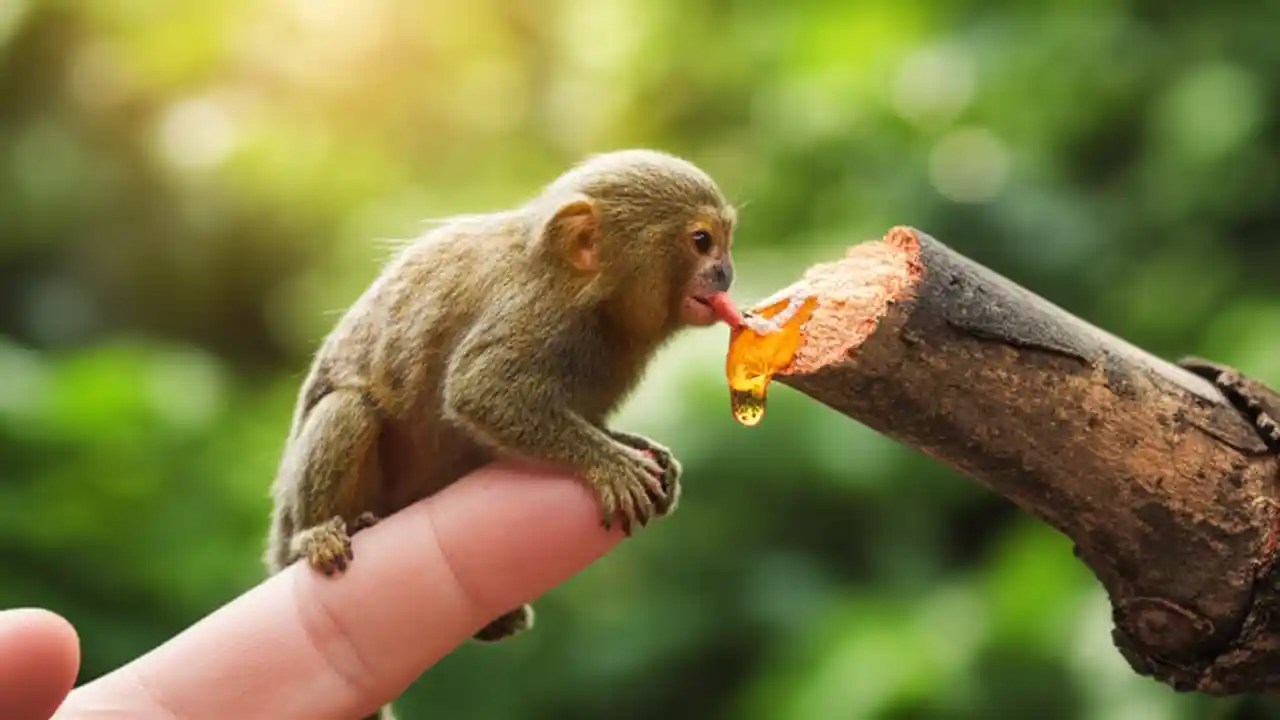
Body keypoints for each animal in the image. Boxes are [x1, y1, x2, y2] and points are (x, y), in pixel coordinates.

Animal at [264, 150, 740, 719]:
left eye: (725, 241)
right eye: (701, 241)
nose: (726, 273)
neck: (586, 294)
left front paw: (635, 448)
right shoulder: (535, 314)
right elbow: (480, 390)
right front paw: (609, 462)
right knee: (349, 409)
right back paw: (318, 534)